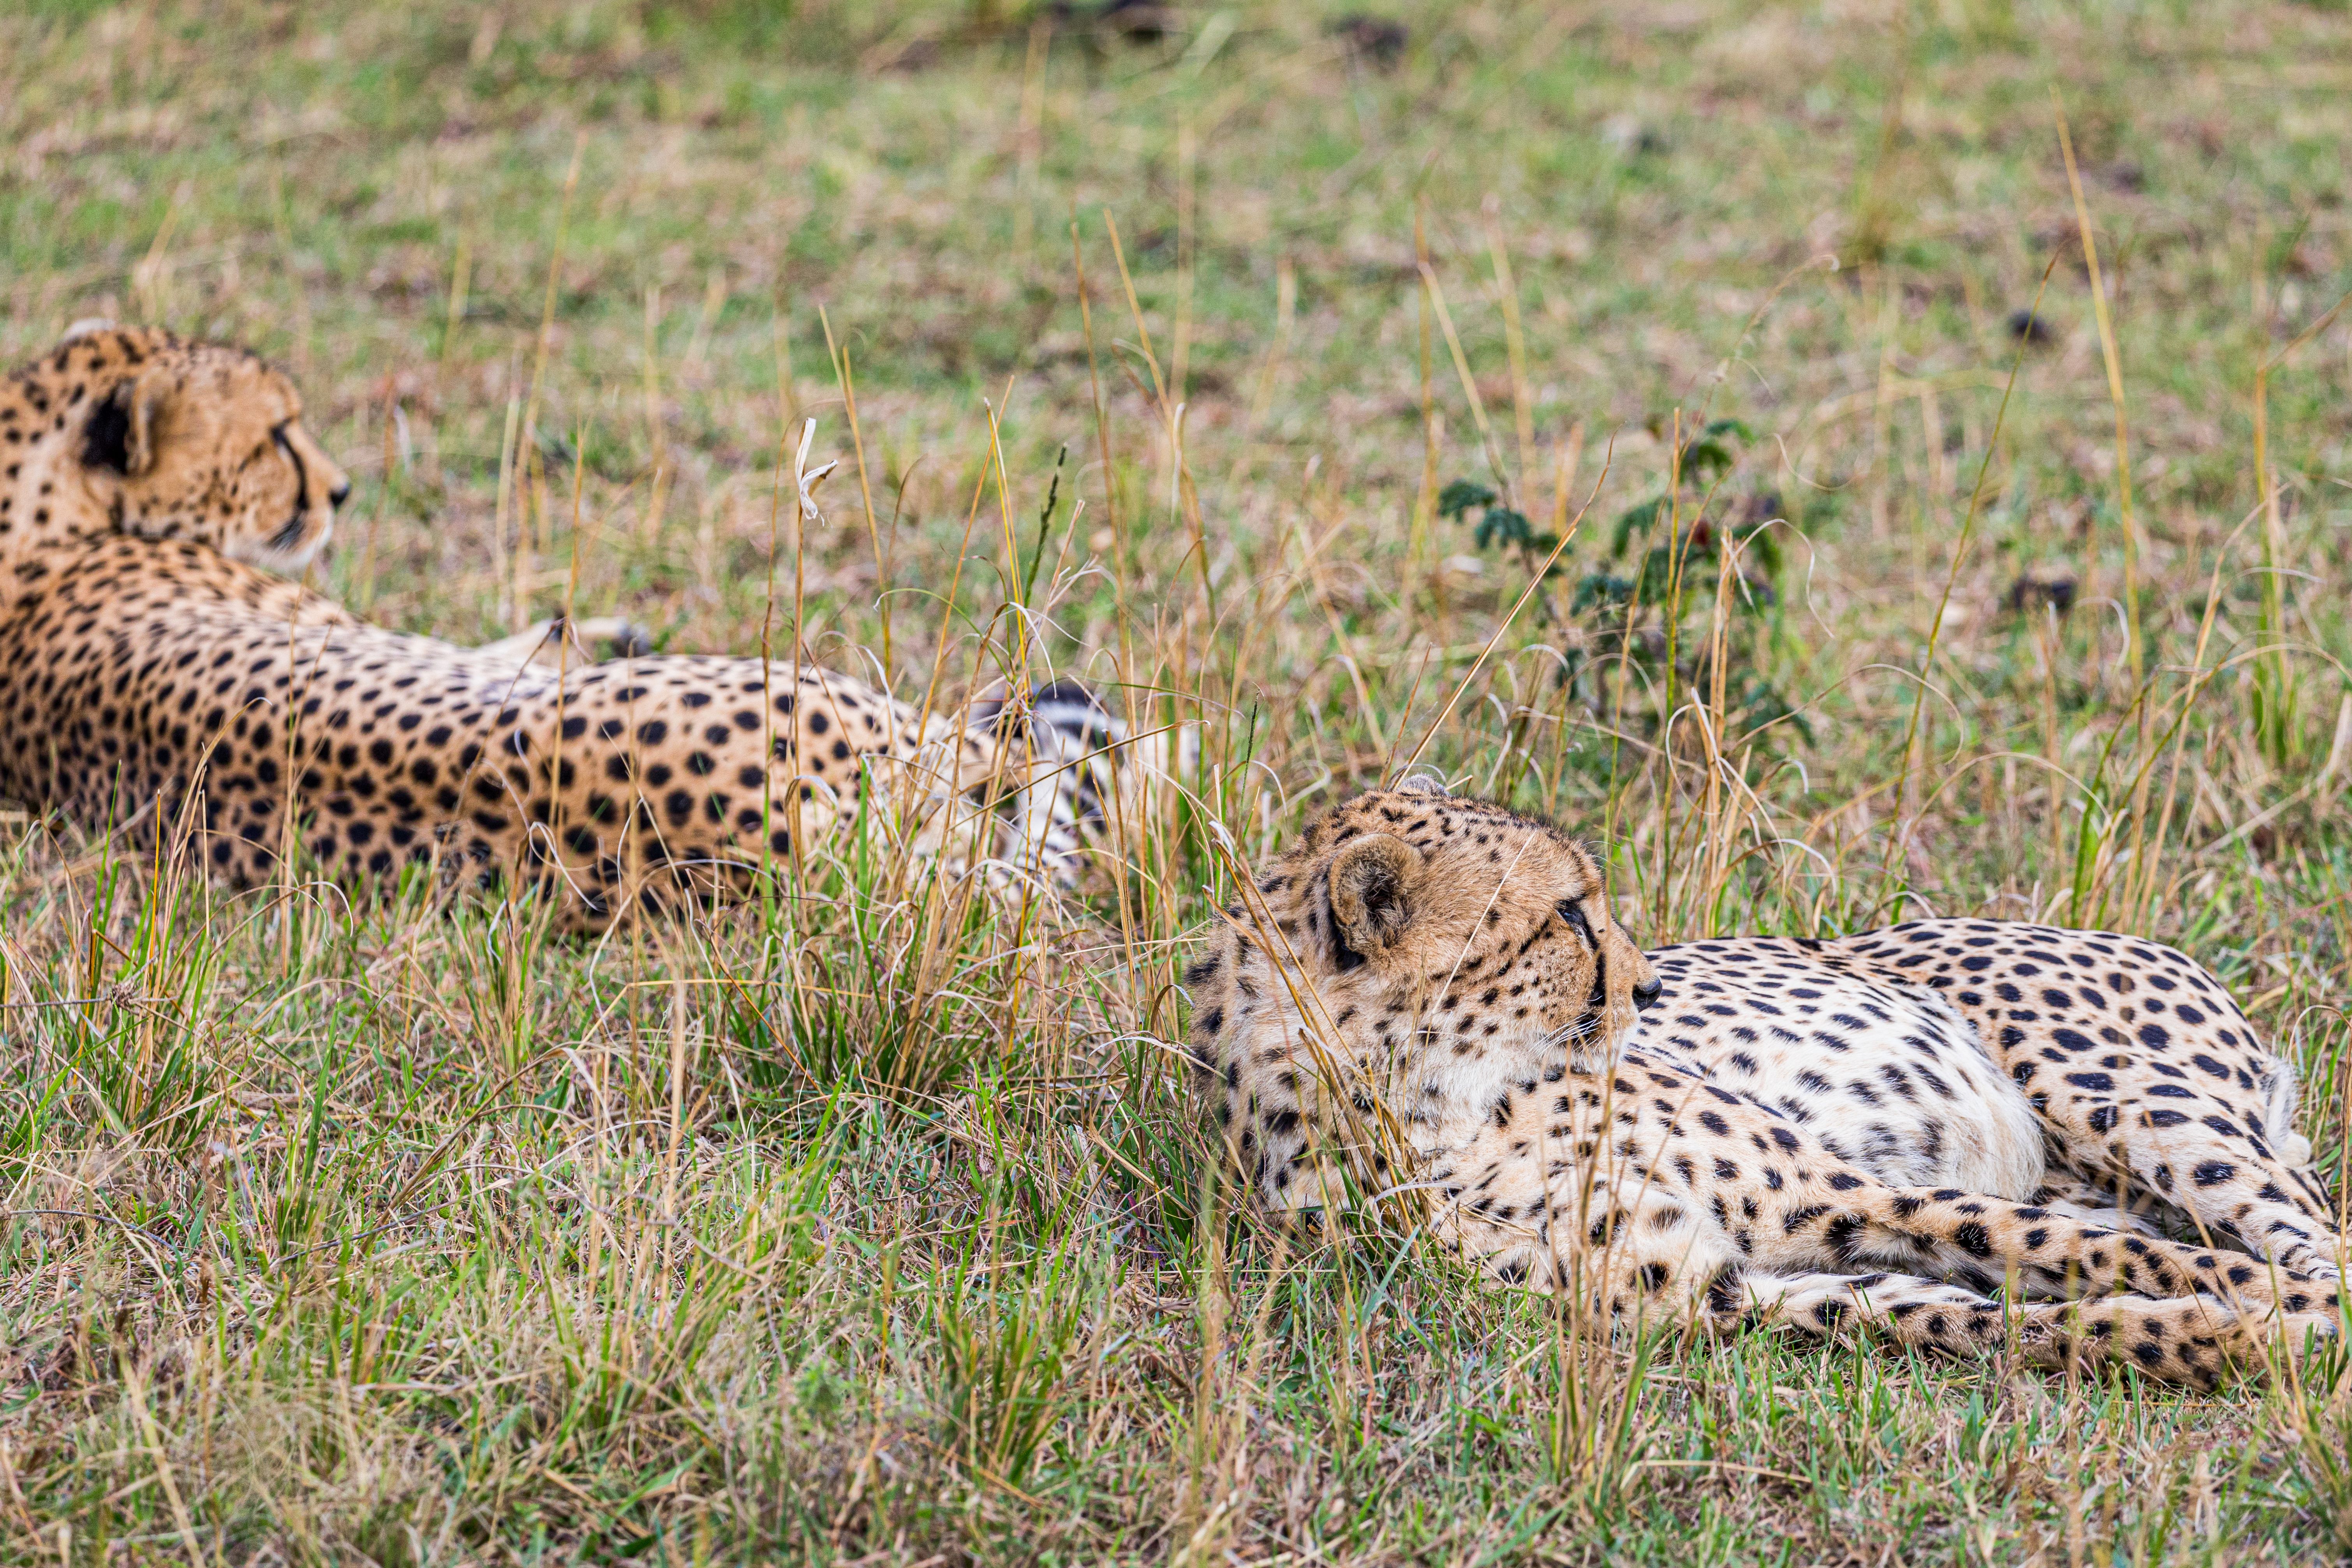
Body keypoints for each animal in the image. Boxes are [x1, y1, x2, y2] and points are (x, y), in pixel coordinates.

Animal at [0, 323, 1161, 929]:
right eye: (276, 436)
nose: (338, 491)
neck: (41, 524)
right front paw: (589, 628)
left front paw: (584, 626)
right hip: (863, 710)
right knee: (1030, 759)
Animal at [1181, 778, 2344, 1388]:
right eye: (1565, 913)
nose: (1645, 985)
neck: (1427, 1111)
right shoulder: (1720, 1287)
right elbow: (1998, 1315)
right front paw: (2235, 1336)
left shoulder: (1835, 1192)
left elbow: (2081, 1252)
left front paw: (2280, 1308)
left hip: (2124, 1099)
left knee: (2292, 1223)